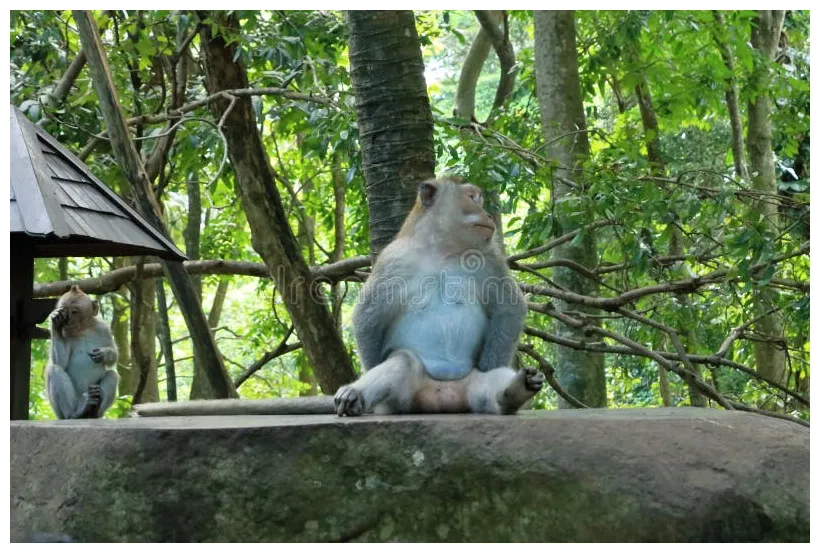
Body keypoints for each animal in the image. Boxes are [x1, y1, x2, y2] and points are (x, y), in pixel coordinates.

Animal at [45, 285, 119, 419]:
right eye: (64, 311)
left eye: (74, 312)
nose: (68, 321)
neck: (83, 329)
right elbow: (60, 362)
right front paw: (55, 321)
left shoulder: (103, 328)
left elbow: (114, 355)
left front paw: (103, 354)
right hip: (61, 410)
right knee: (54, 369)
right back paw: (76, 413)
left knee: (112, 375)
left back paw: (94, 411)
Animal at [334, 176, 543, 416]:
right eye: (472, 197)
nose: (489, 215)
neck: (443, 250)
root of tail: (443, 398)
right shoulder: (392, 259)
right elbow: (367, 317)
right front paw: (369, 368)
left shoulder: (490, 259)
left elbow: (509, 308)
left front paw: (491, 362)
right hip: (405, 397)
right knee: (403, 361)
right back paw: (354, 395)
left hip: (469, 386)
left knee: (488, 382)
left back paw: (516, 390)